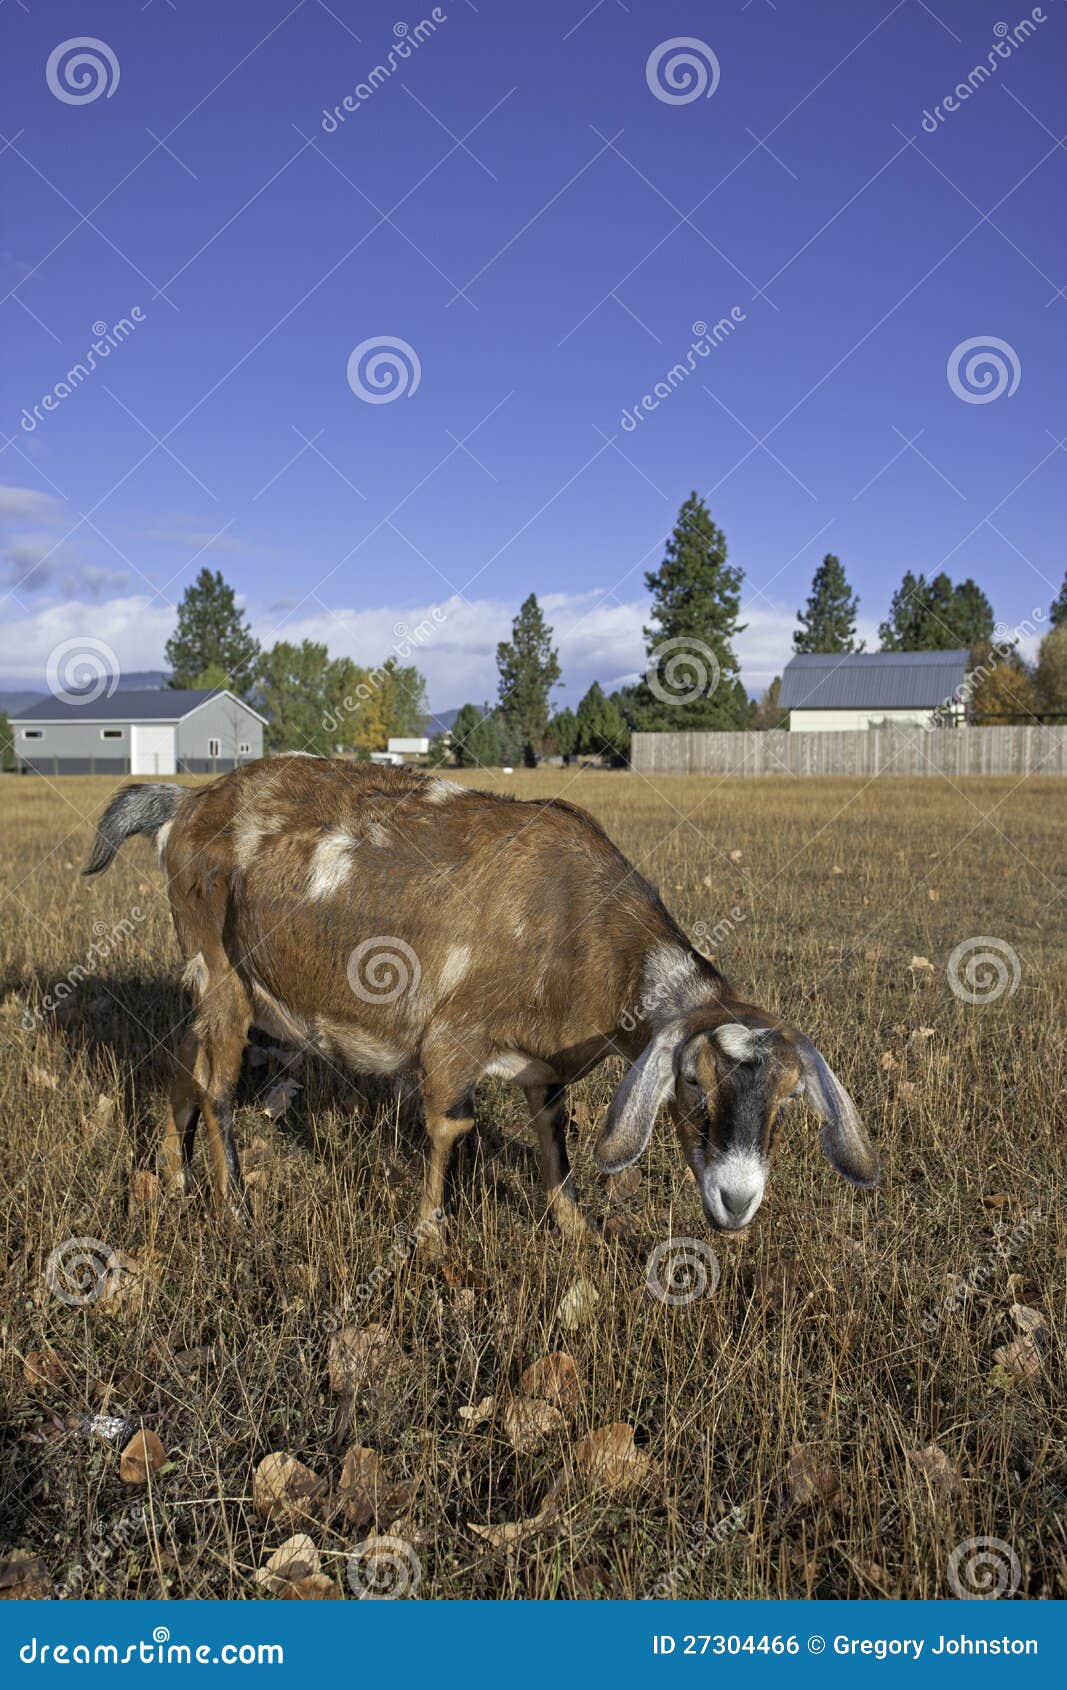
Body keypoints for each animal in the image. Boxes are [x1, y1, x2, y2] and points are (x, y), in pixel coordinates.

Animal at [84, 758, 879, 1243]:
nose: (737, 1202)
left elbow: (554, 1143)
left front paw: (577, 1230)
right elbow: (450, 1128)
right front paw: (430, 1236)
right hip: (219, 969)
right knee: (216, 1089)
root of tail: (187, 801)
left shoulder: (544, 1064)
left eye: (788, 1099)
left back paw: (174, 1177)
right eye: (691, 1081)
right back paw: (237, 1210)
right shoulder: (450, 1040)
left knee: (179, 1063)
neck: (577, 923)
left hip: (219, 984)